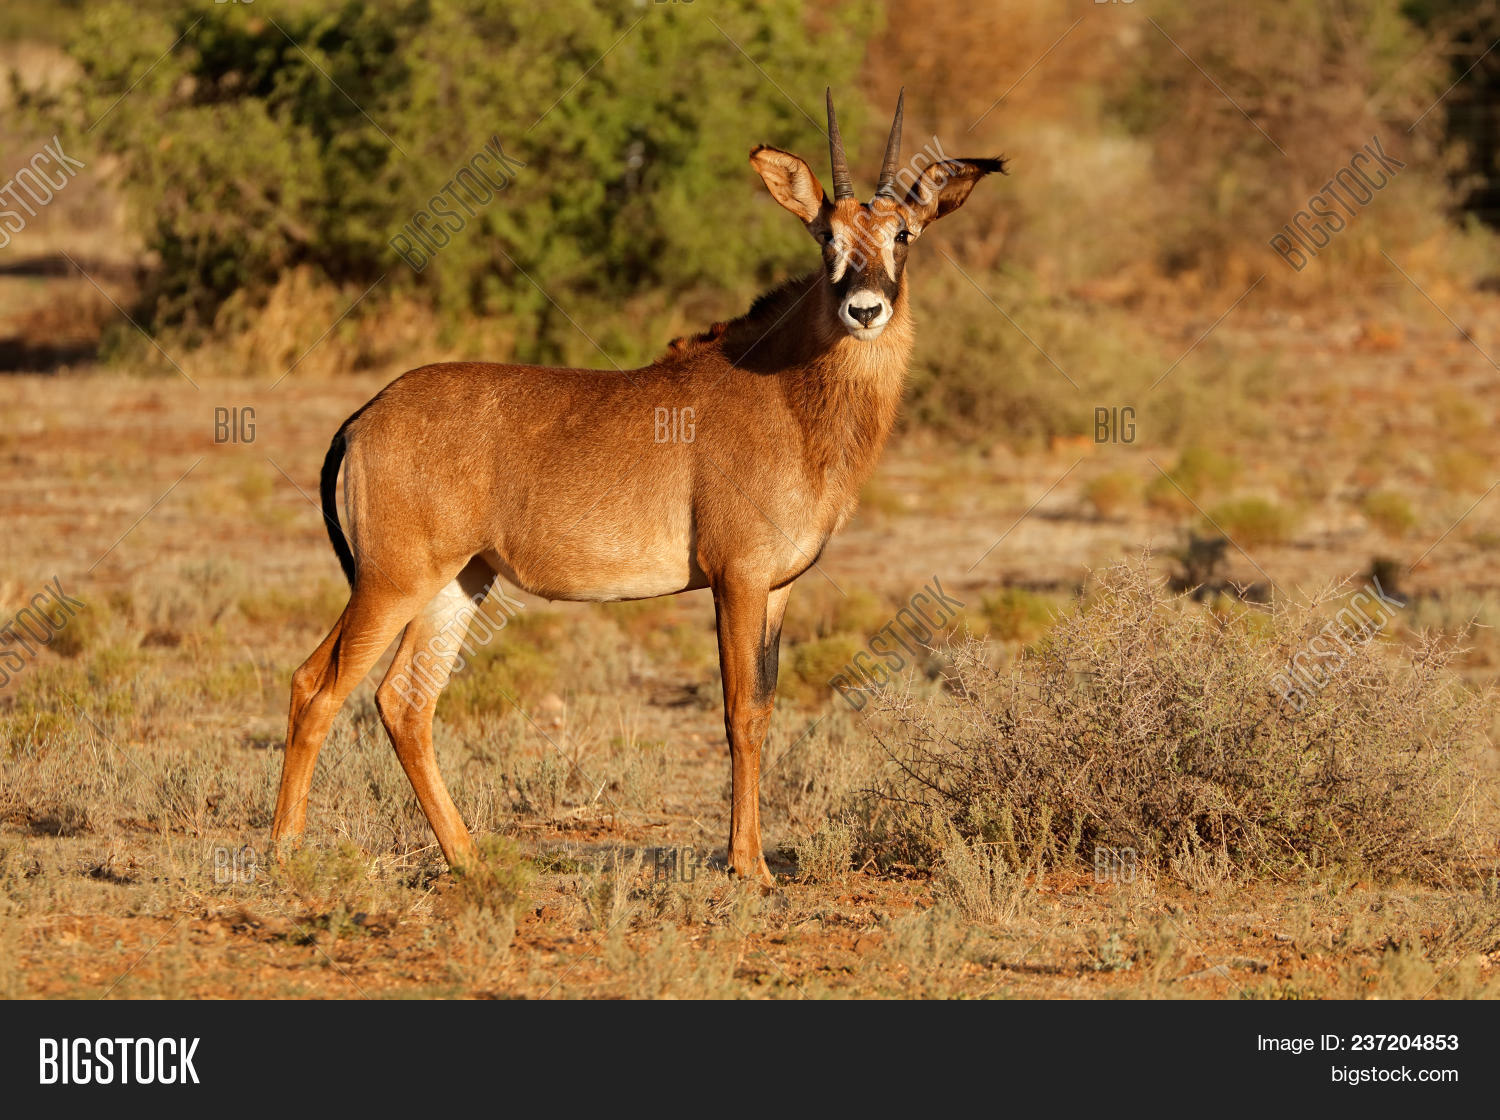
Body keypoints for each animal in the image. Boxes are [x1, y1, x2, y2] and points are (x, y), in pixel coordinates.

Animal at [269, 91, 1005, 883]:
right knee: (317, 685)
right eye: (825, 238)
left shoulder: (778, 586)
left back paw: (470, 861)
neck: (789, 394)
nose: (864, 310)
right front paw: (748, 866)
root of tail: (363, 418)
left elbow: (765, 707)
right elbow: (739, 712)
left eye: (903, 233)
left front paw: (750, 859)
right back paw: (285, 855)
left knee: (405, 700)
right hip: (392, 580)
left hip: (455, 582)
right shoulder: (737, 578)